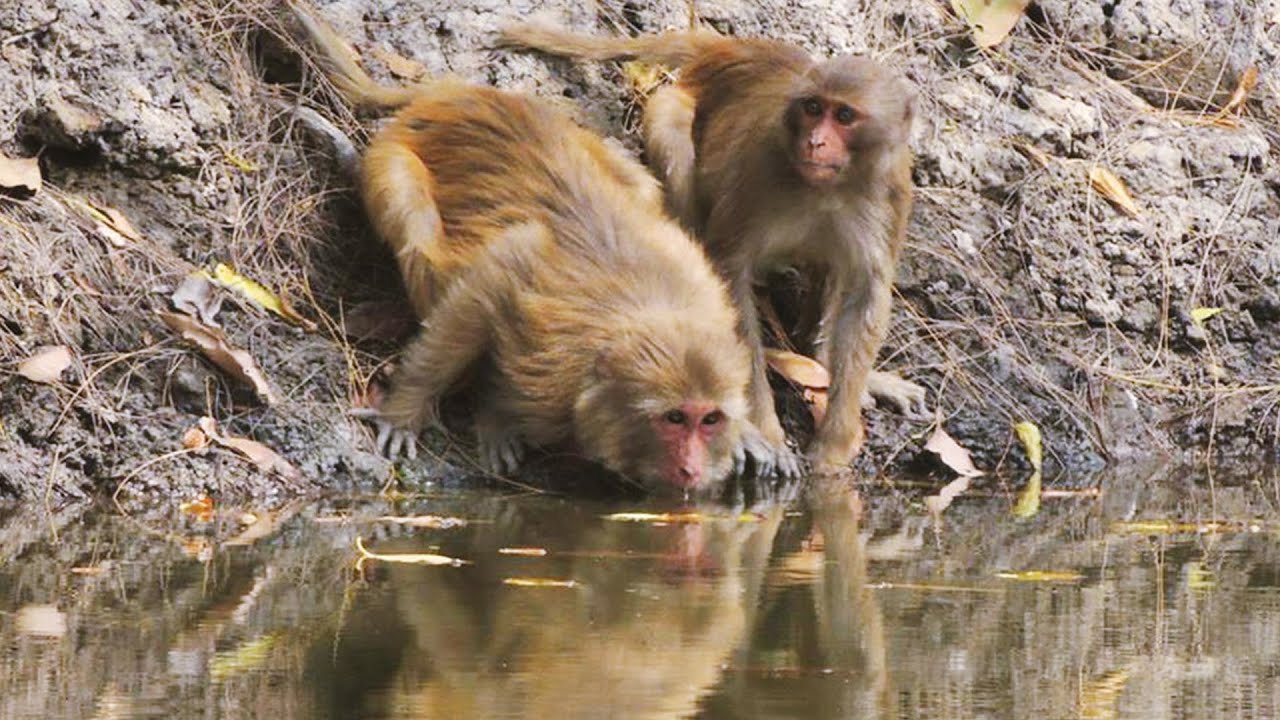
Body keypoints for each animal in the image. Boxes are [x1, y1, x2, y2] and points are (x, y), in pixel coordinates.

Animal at [287, 2, 777, 490]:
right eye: (675, 418)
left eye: (710, 420)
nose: (690, 468)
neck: (648, 306)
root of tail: (464, 94)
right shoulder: (529, 281)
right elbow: (487, 279)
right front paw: (408, 409)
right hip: (394, 154)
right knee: (418, 232)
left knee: (643, 188)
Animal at [498, 24, 928, 474]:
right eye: (813, 108)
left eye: (844, 116)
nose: (815, 142)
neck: (827, 188)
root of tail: (732, 49)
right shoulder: (759, 168)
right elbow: (731, 277)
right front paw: (764, 430)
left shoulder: (890, 192)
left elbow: (865, 295)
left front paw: (834, 445)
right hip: (671, 105)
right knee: (675, 144)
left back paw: (824, 361)